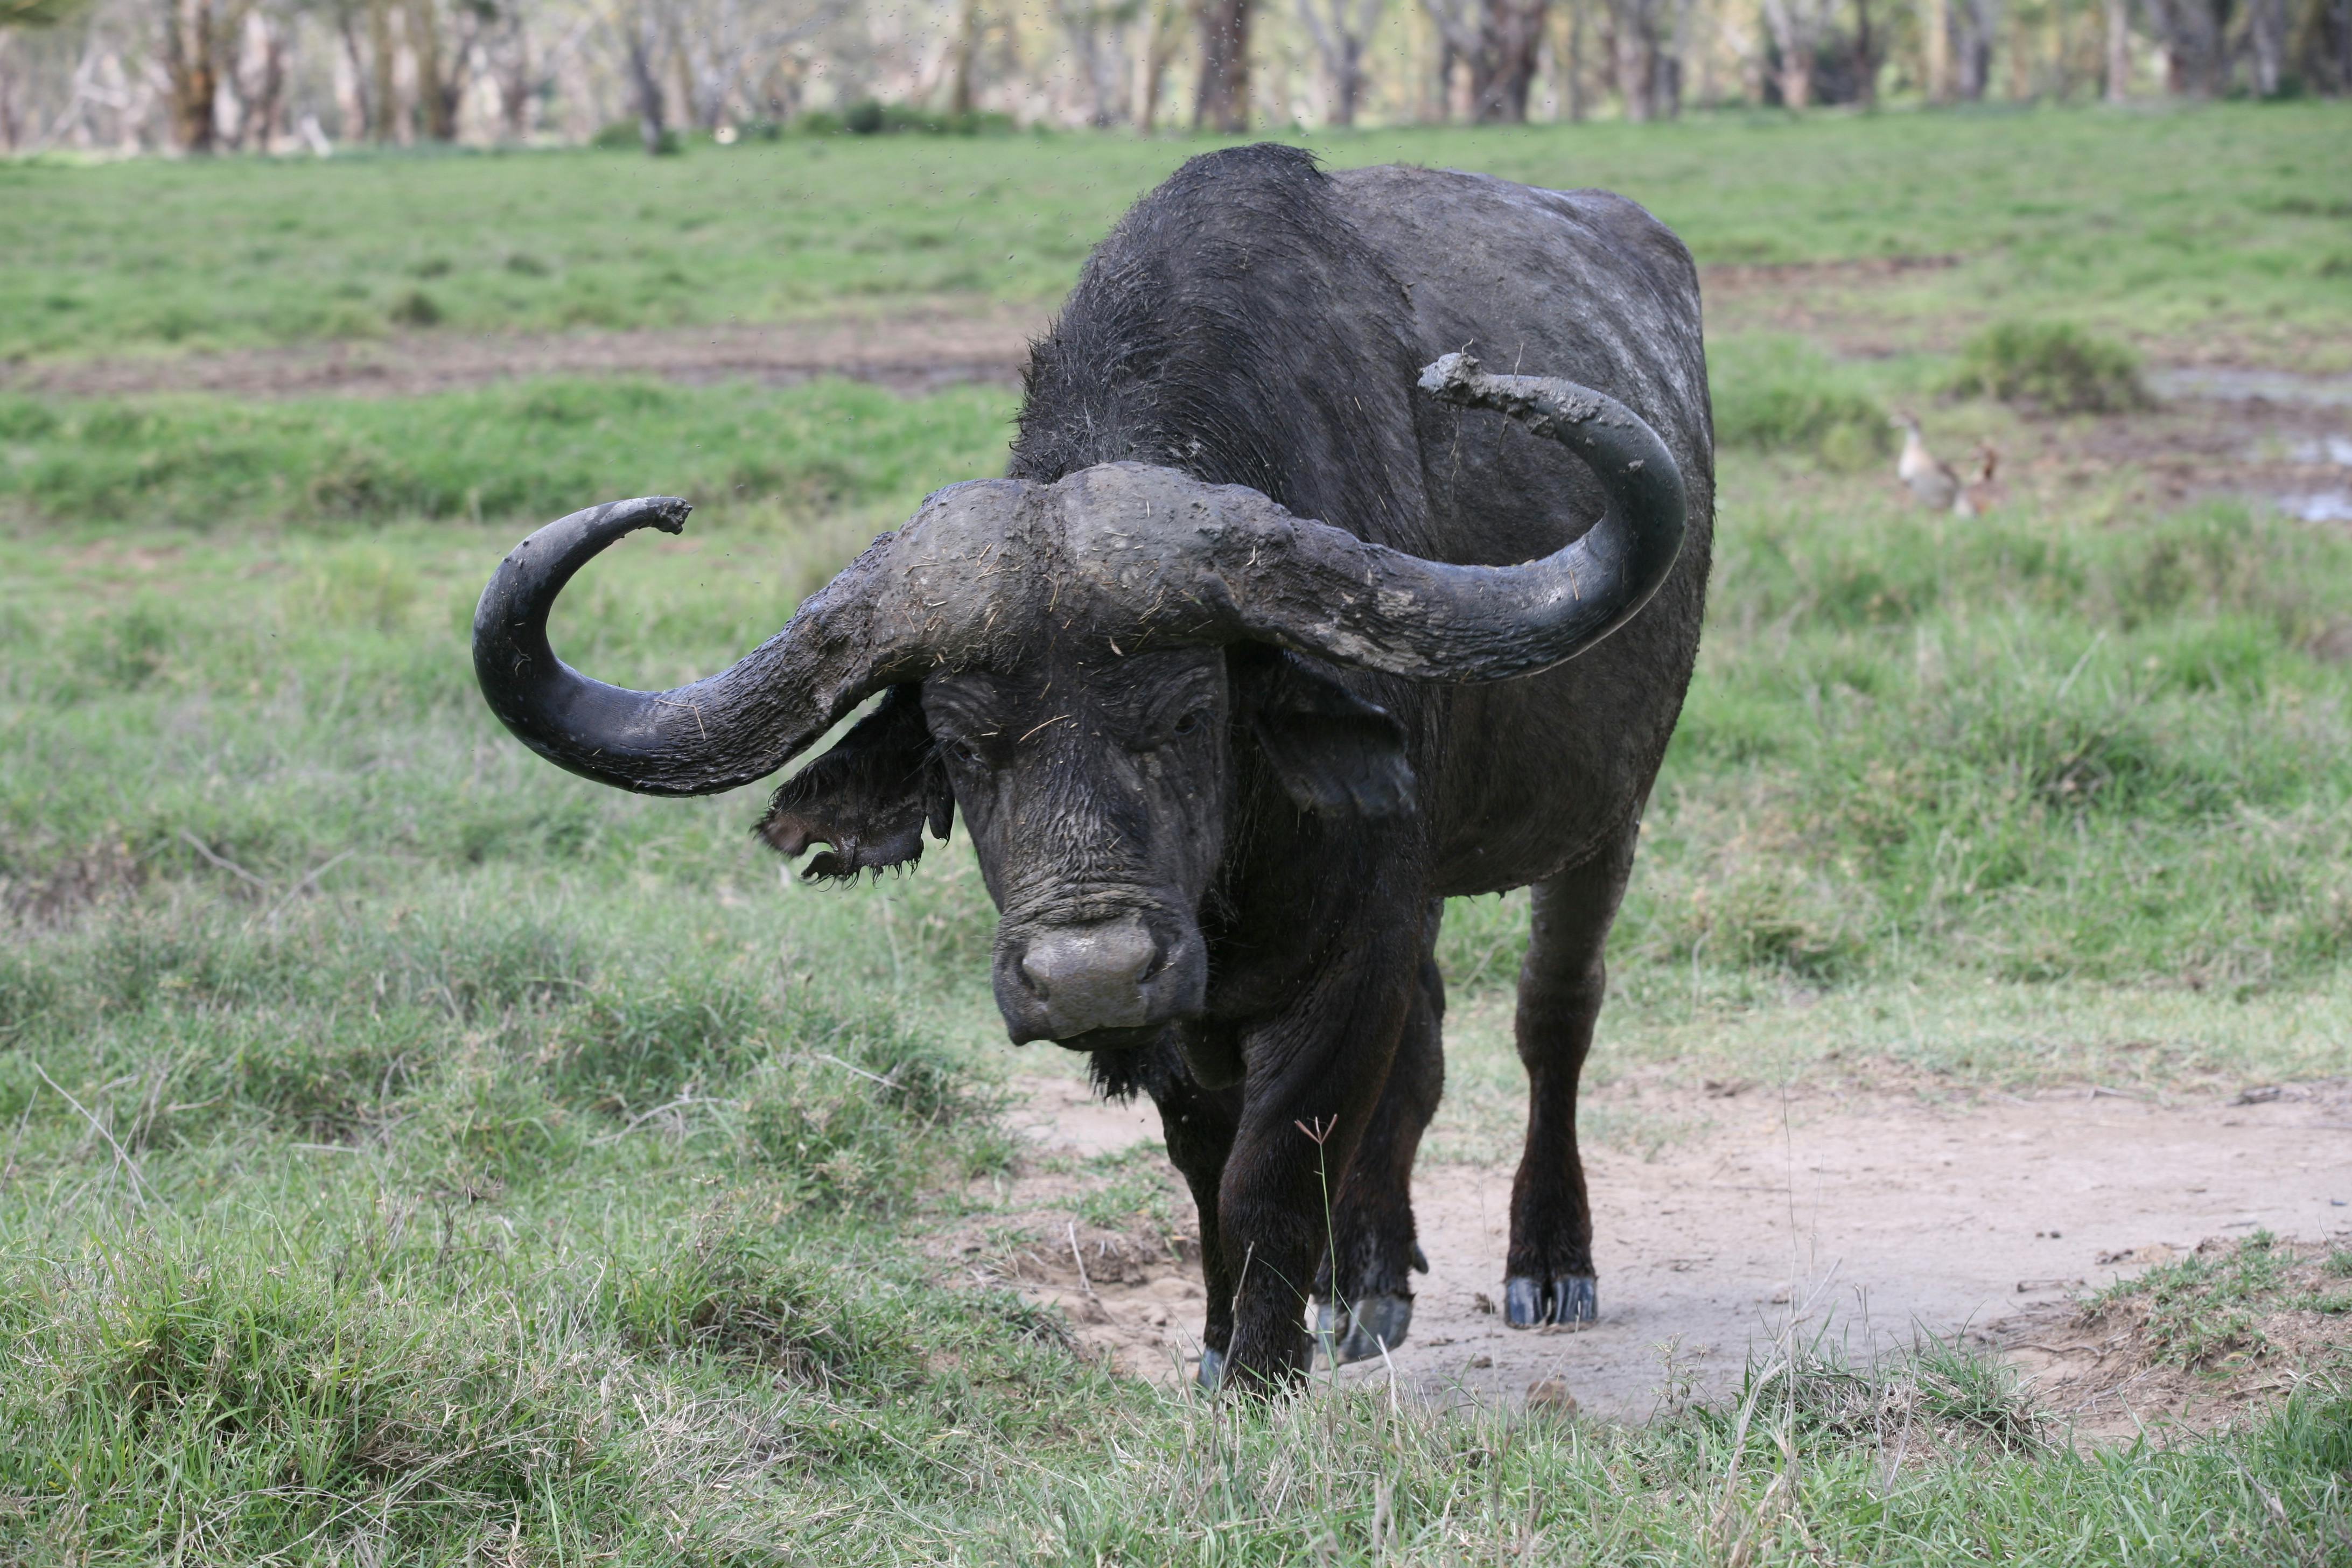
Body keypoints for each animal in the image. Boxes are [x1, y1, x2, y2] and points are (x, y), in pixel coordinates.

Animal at [474, 144, 1713, 1392]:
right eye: (963, 743)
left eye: (1190, 713)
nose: (1090, 976)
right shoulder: (1198, 1010)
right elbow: (1210, 1171)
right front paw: (1221, 1346)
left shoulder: (1353, 948)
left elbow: (1274, 1167)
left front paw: (1260, 1376)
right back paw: (1368, 1283)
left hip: (1607, 816)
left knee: (1552, 1014)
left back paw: (1546, 1261)